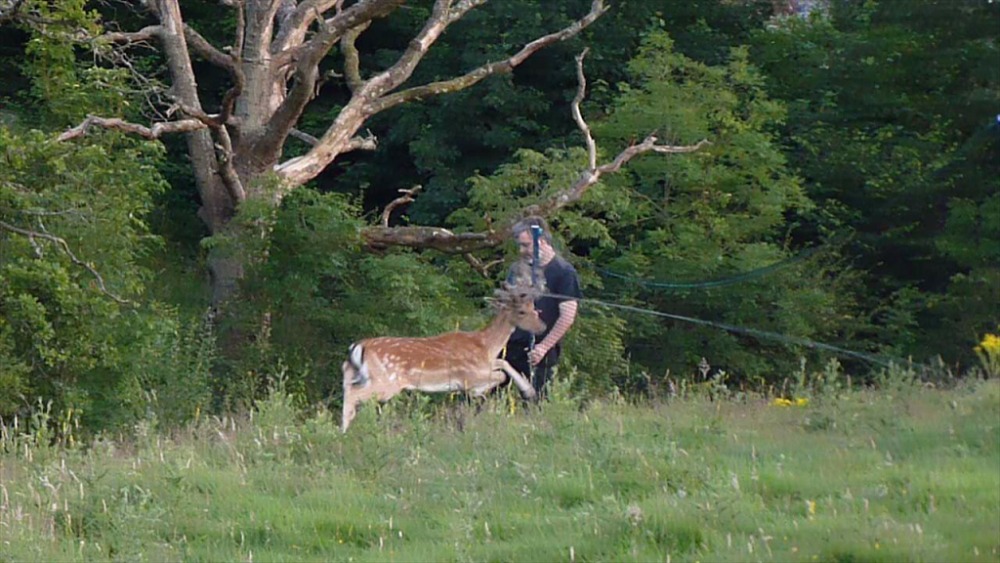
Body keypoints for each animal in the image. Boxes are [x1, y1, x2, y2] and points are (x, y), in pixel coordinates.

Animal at [340, 285, 545, 432]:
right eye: (521, 311)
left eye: (534, 308)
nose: (542, 327)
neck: (485, 346)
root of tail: (358, 347)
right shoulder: (469, 374)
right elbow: (500, 375)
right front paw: (478, 392)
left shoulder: (485, 364)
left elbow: (503, 363)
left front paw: (528, 390)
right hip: (387, 381)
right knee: (355, 395)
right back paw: (344, 433)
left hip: (352, 372)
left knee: (348, 390)